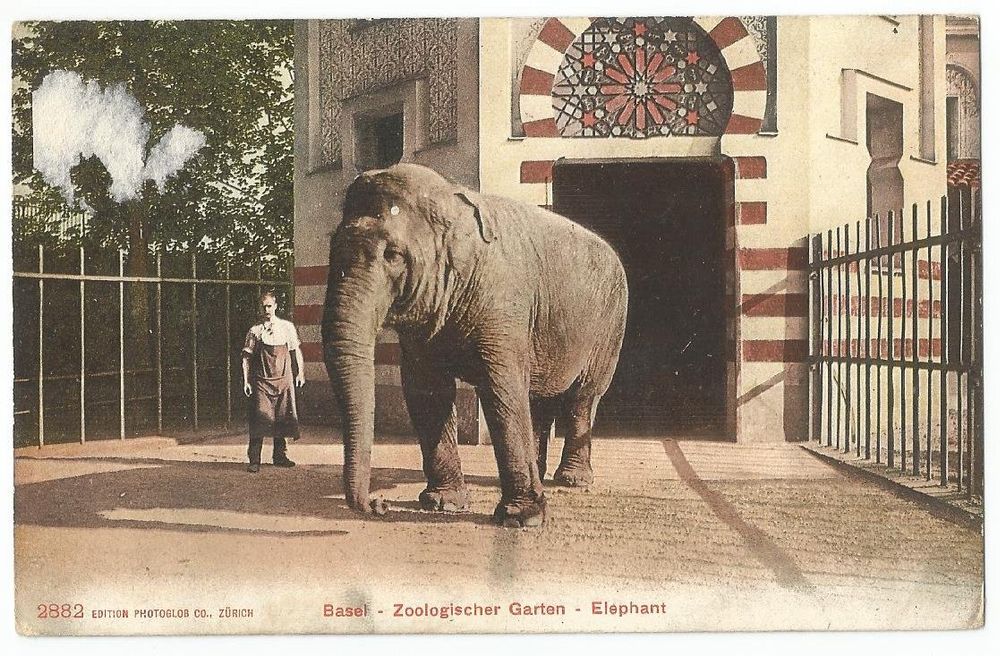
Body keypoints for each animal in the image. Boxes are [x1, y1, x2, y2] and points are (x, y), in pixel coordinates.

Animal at [322, 163, 627, 527]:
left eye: (392, 255)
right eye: (331, 250)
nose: (379, 504)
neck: (452, 200)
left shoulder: (503, 307)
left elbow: (501, 388)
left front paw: (521, 519)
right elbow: (426, 390)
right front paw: (442, 503)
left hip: (609, 327)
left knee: (583, 397)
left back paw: (573, 480)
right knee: (539, 398)